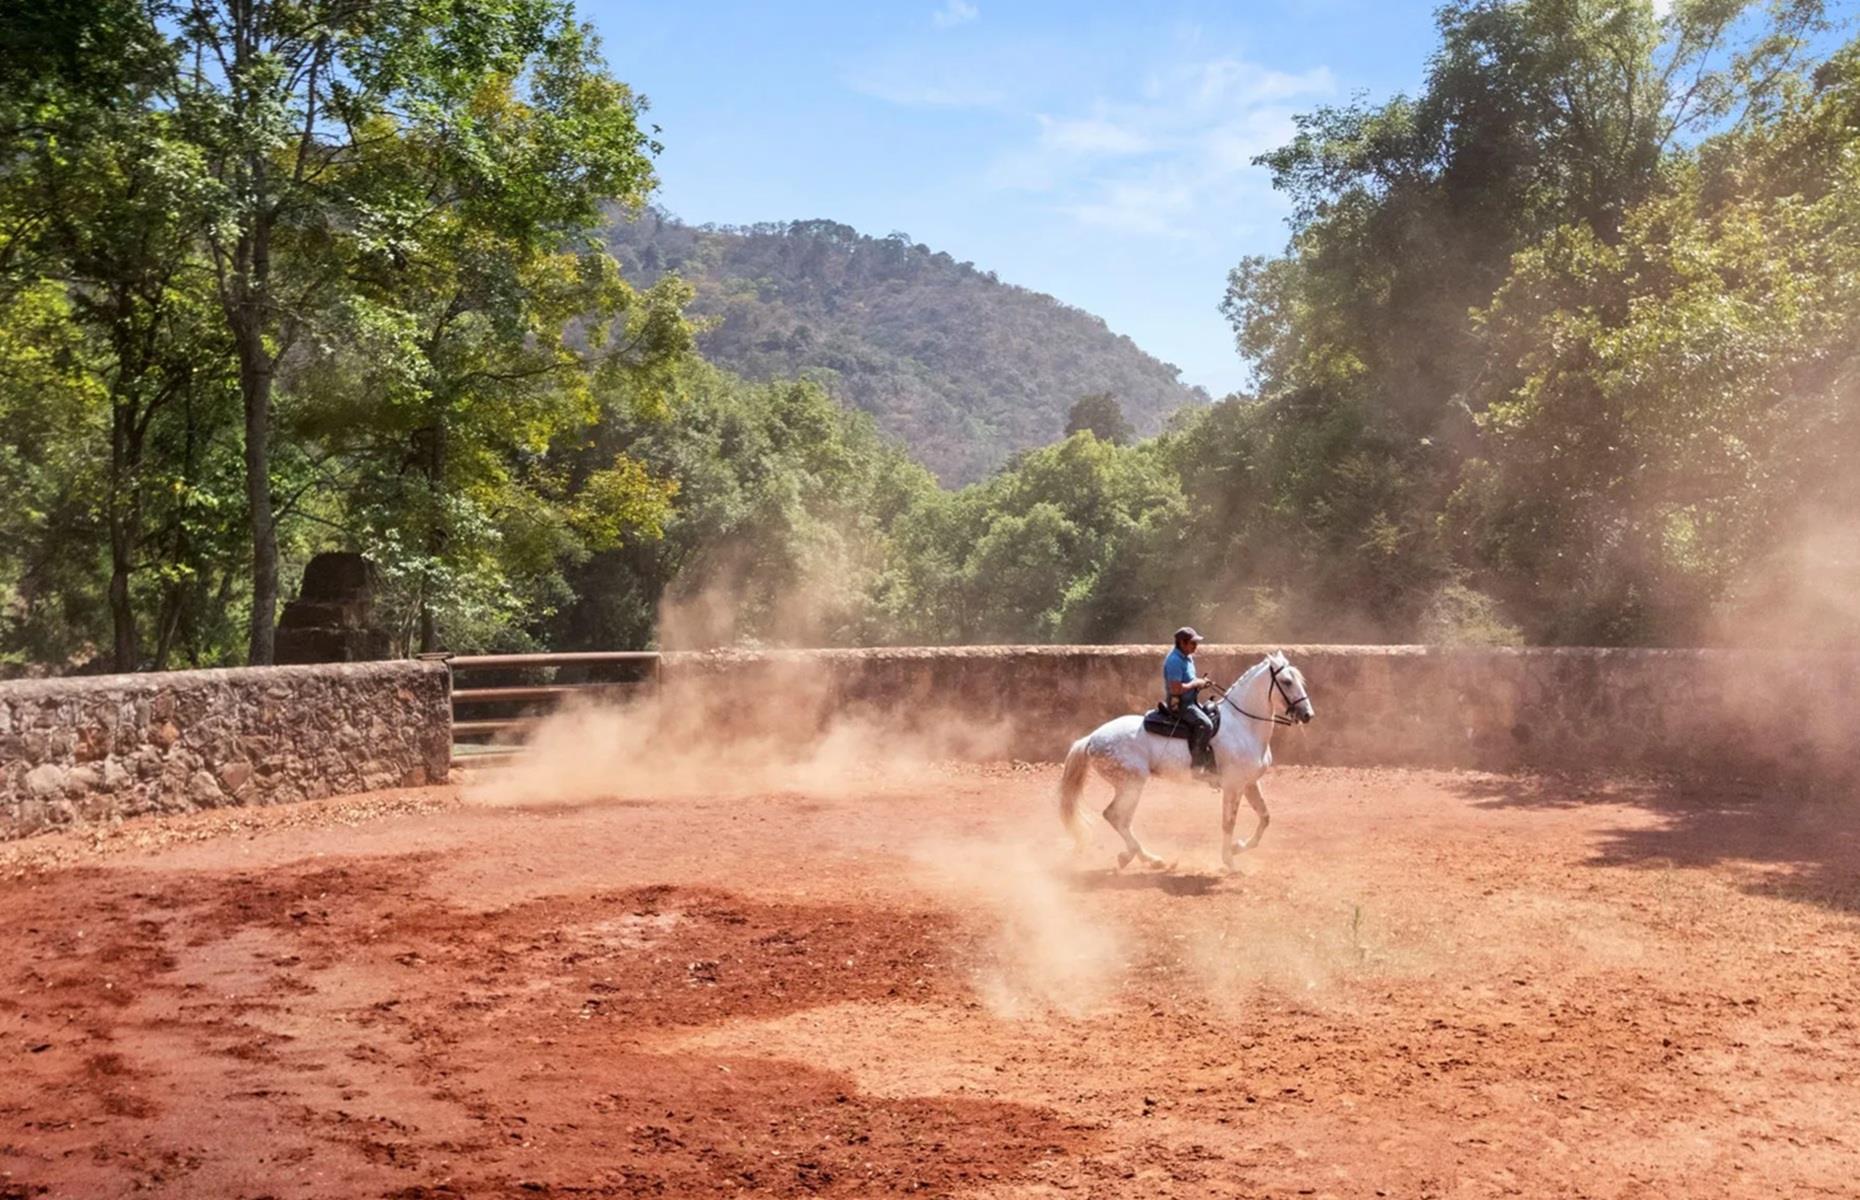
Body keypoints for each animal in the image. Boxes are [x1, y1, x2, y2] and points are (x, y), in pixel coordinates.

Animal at [1057, 651, 1315, 873]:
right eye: (1286, 681)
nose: (1307, 714)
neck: (1243, 724)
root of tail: (1092, 738)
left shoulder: (1250, 783)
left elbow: (1265, 817)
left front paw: (1238, 847)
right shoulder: (1233, 786)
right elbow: (1228, 823)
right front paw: (1230, 862)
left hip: (1129, 786)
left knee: (1121, 819)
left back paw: (1140, 858)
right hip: (1131, 784)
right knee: (1114, 816)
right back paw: (1145, 858)